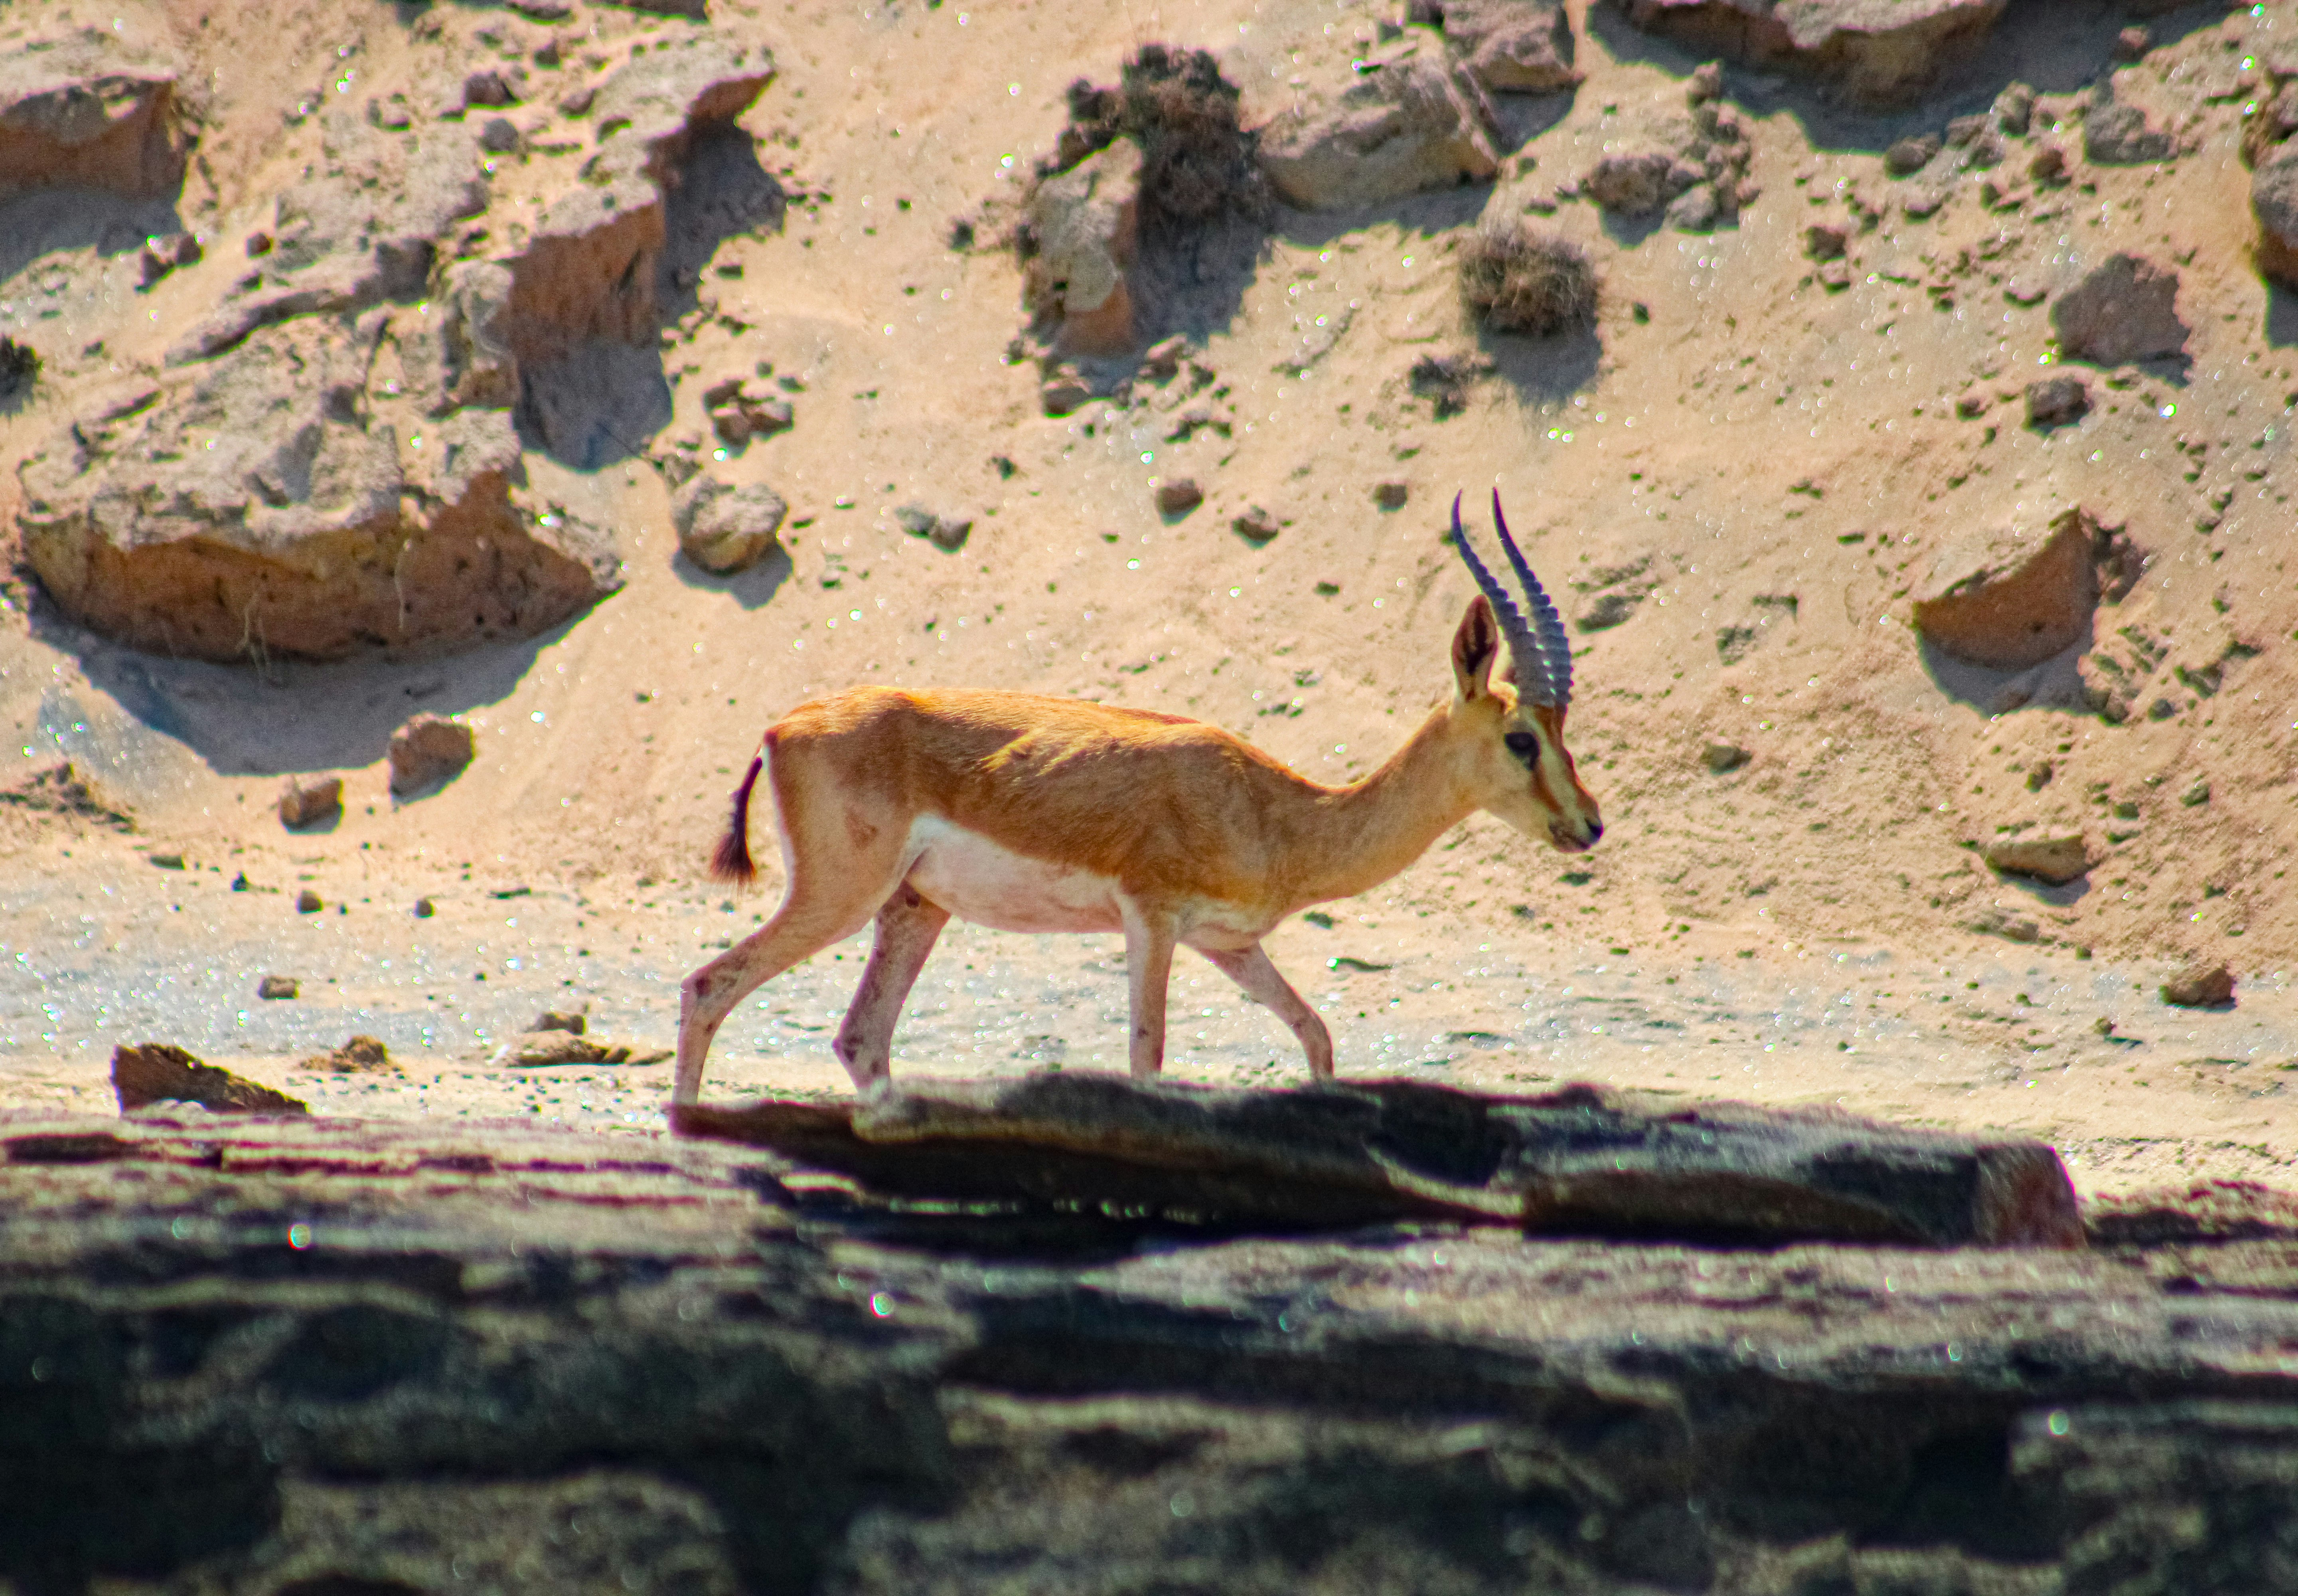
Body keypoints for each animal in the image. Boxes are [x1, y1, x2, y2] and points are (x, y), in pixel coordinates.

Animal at [672, 491, 1600, 1103]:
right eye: (1522, 737)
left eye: (1563, 727)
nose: (1588, 825)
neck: (1278, 813)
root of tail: (783, 725)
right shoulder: (1149, 919)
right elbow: (1148, 1058)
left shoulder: (1230, 945)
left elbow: (1317, 1033)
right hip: (840, 896)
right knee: (709, 986)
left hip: (914, 907)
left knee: (861, 1038)